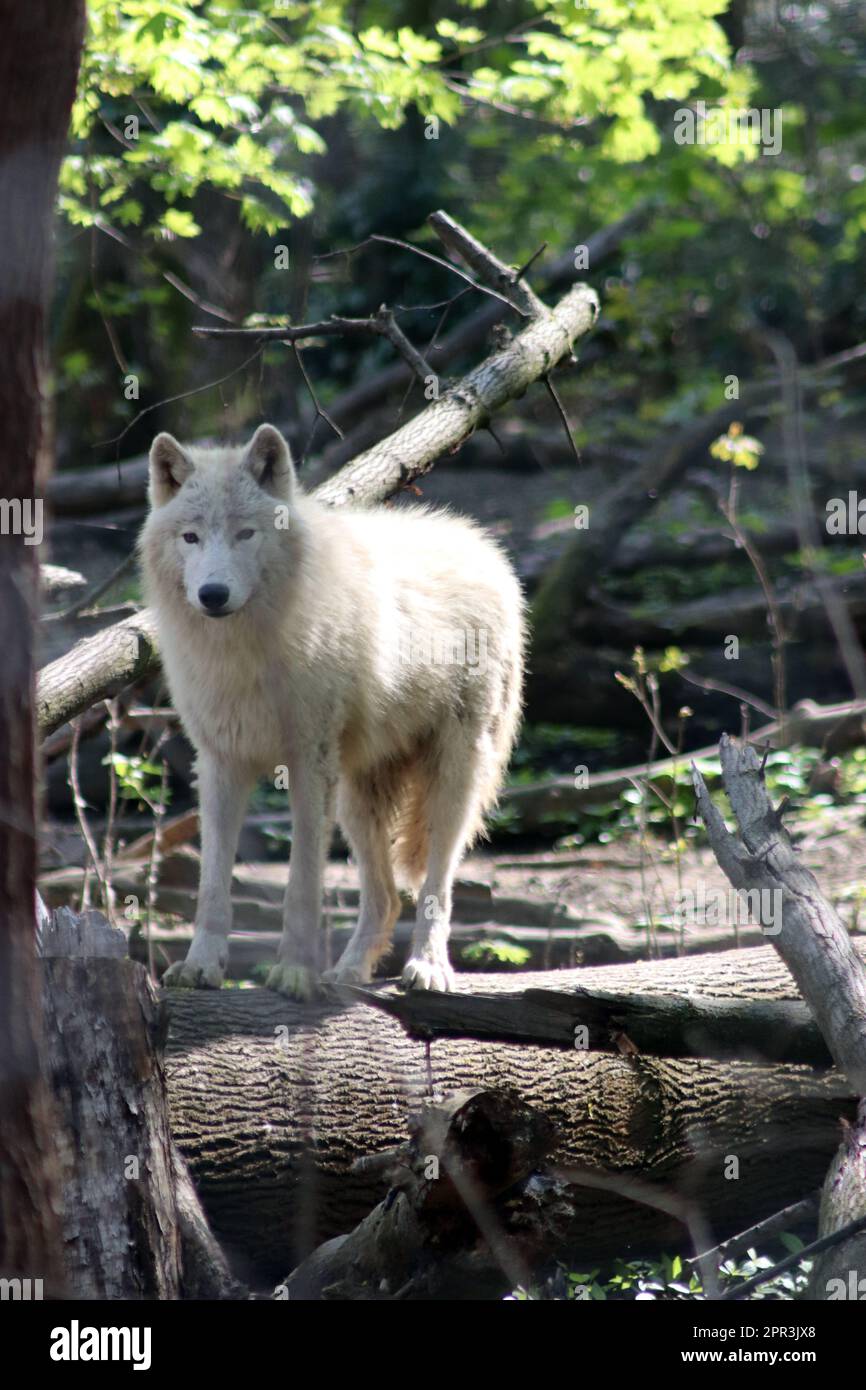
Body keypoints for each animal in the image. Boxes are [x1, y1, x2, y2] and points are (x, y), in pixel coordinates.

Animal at [139, 424, 525, 999]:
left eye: (246, 534)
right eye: (191, 537)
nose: (213, 594)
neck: (245, 653)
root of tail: (484, 545)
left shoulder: (308, 763)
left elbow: (301, 884)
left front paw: (295, 973)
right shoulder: (221, 763)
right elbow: (211, 886)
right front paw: (201, 967)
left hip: (449, 781)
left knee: (436, 885)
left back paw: (427, 967)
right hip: (355, 801)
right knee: (385, 898)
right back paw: (347, 972)